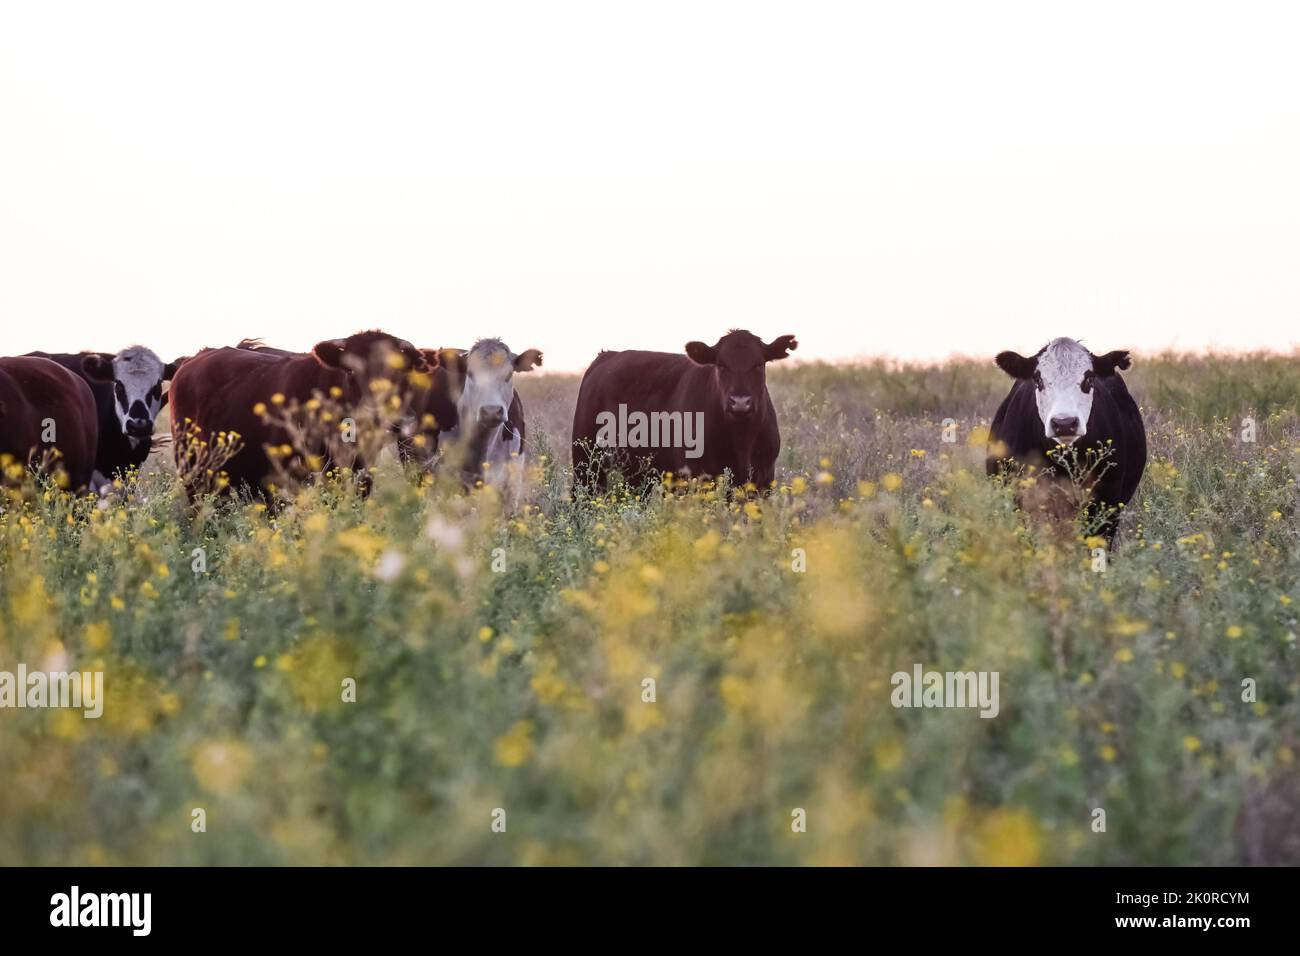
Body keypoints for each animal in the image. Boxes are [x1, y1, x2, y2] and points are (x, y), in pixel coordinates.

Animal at [571, 329, 797, 493]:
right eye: (721, 365)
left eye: (758, 364)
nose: (740, 402)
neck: (742, 440)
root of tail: (606, 356)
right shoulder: (699, 475)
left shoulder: (764, 476)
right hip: (585, 461)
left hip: (636, 474)